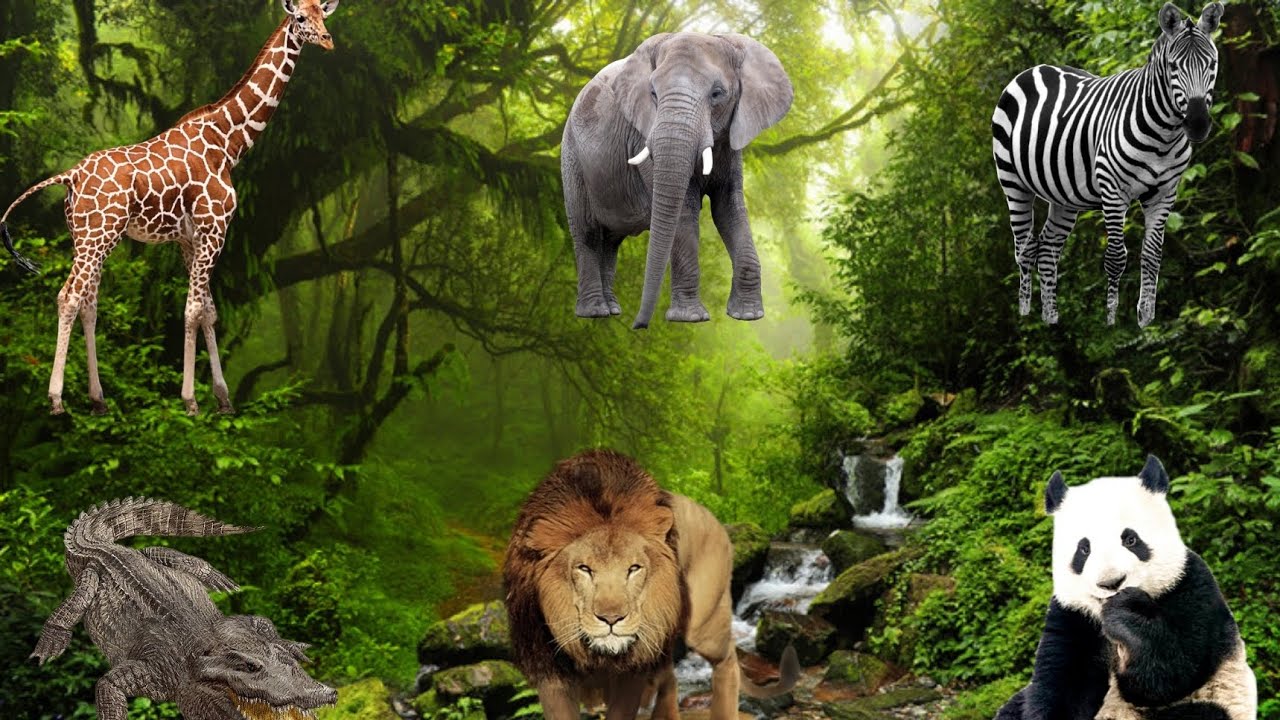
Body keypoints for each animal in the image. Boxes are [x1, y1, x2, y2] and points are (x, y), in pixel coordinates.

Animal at [503, 449, 800, 720]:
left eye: (634, 569)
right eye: (584, 569)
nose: (612, 619)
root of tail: (714, 518)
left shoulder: (634, 667)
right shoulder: (550, 670)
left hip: (704, 626)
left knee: (729, 660)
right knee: (670, 679)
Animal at [561, 32, 793, 329]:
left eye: (717, 94)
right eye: (653, 93)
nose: (639, 326)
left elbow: (729, 209)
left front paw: (748, 315)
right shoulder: (642, 136)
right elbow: (684, 210)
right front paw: (690, 319)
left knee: (611, 241)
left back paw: (612, 309)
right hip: (572, 158)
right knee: (588, 231)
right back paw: (595, 312)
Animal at [996, 455, 1257, 720]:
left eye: (1131, 540)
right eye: (1083, 549)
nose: (1111, 583)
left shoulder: (1190, 585)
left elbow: (1172, 672)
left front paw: (1126, 612)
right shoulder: (1073, 614)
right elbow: (1062, 683)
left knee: (1201, 712)